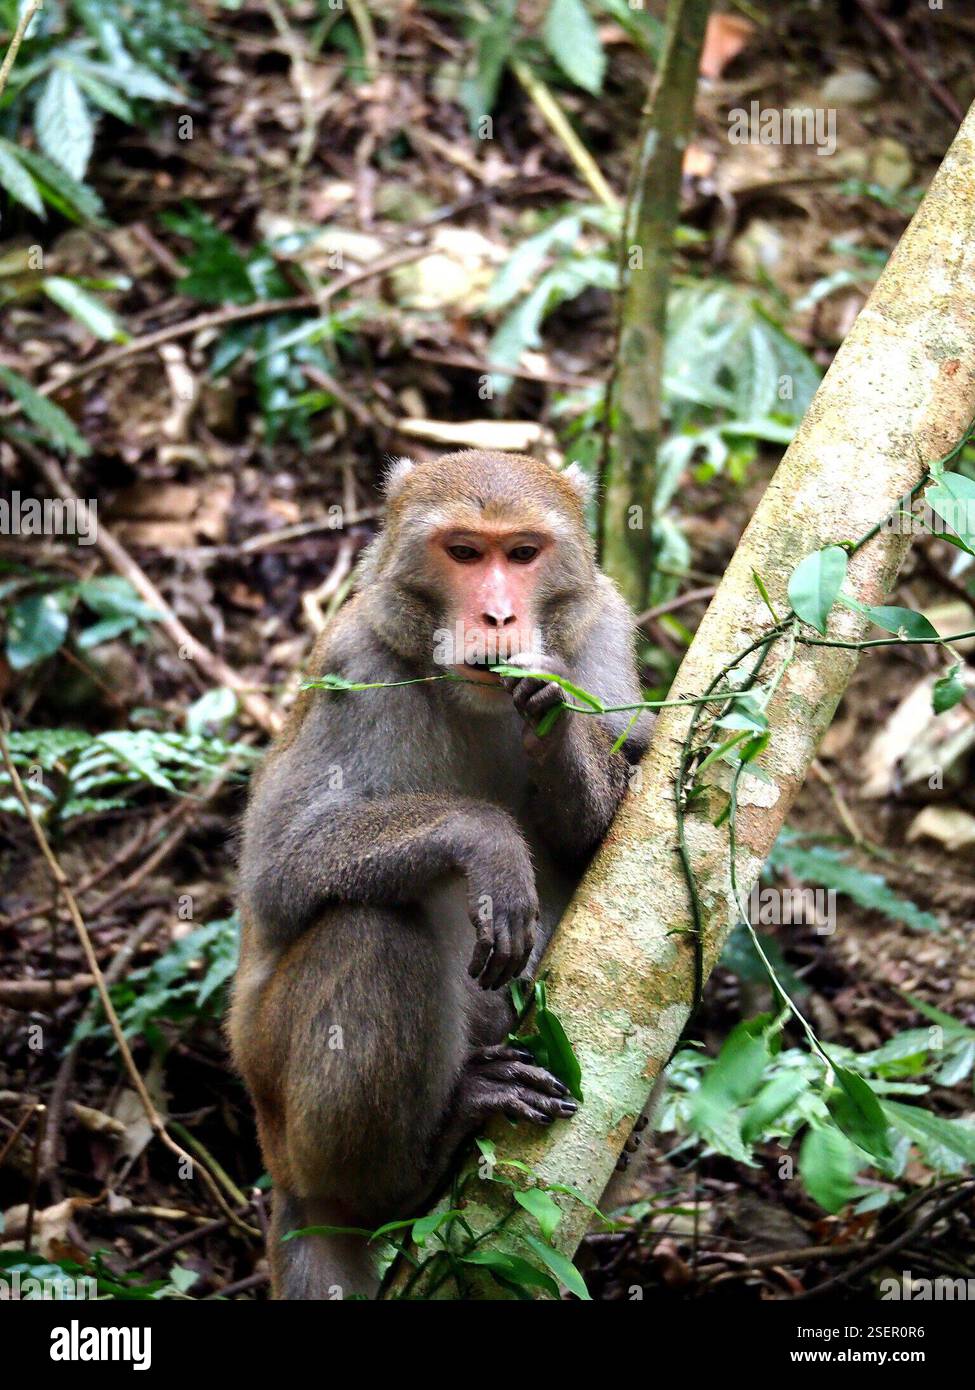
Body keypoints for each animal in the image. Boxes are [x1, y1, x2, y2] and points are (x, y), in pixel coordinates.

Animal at [228, 449, 652, 1299]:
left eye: (520, 554)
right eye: (463, 552)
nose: (497, 618)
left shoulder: (602, 638)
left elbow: (610, 834)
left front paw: (550, 708)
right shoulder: (353, 665)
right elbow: (279, 869)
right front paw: (484, 839)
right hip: (280, 1105)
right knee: (369, 930)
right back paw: (407, 1175)